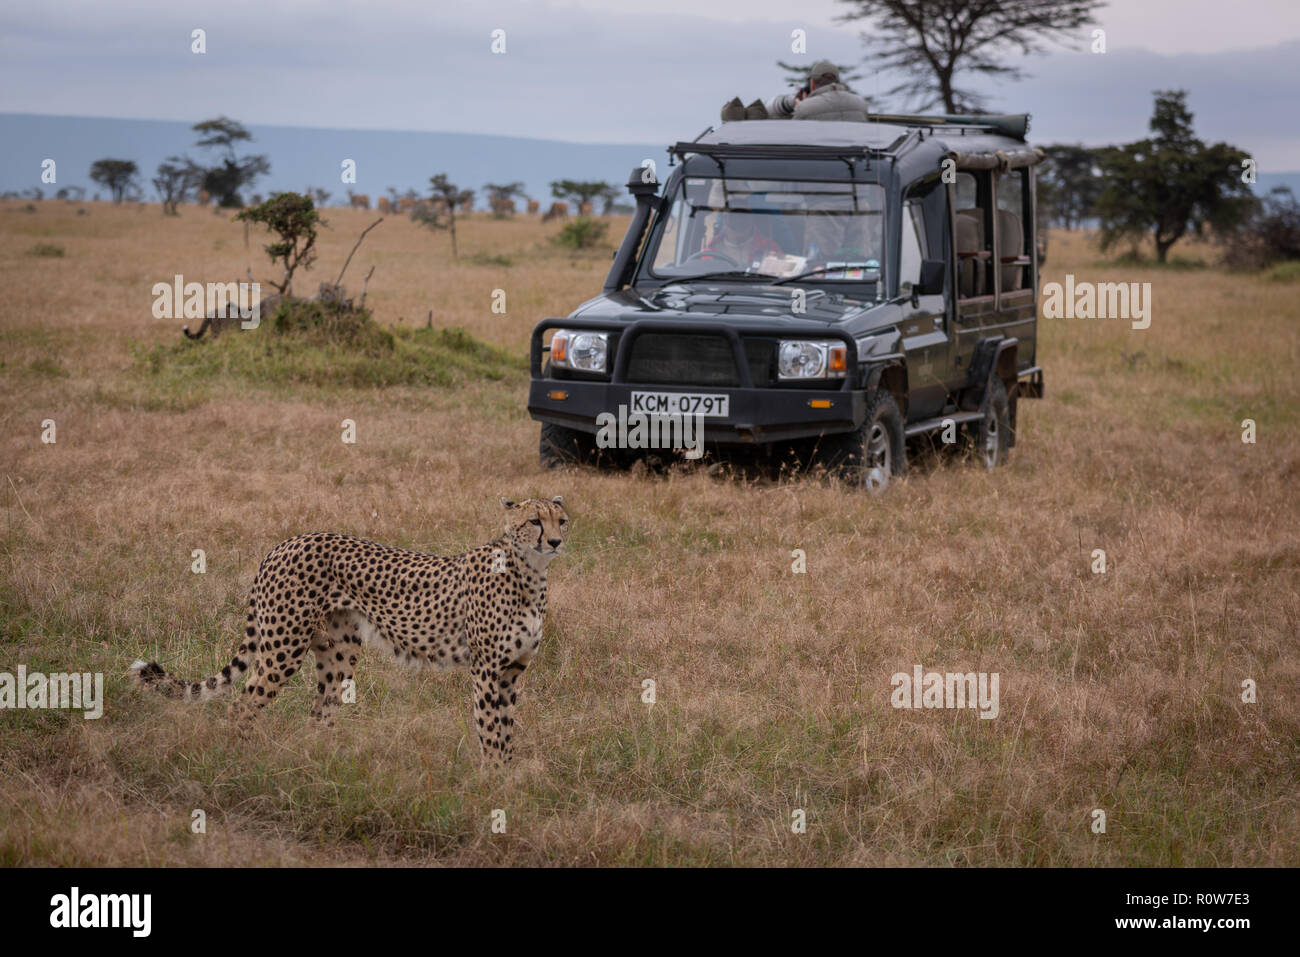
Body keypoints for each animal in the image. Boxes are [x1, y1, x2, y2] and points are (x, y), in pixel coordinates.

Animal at [132, 496, 569, 765]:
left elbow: (506, 730)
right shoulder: (487, 670)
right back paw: (243, 759)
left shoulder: (512, 671)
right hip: (284, 646)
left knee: (318, 713)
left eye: (561, 521)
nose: (556, 541)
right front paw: (492, 783)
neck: (530, 573)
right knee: (243, 703)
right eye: (534, 521)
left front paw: (507, 779)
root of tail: (284, 543)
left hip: (339, 650)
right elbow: (491, 729)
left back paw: (325, 765)